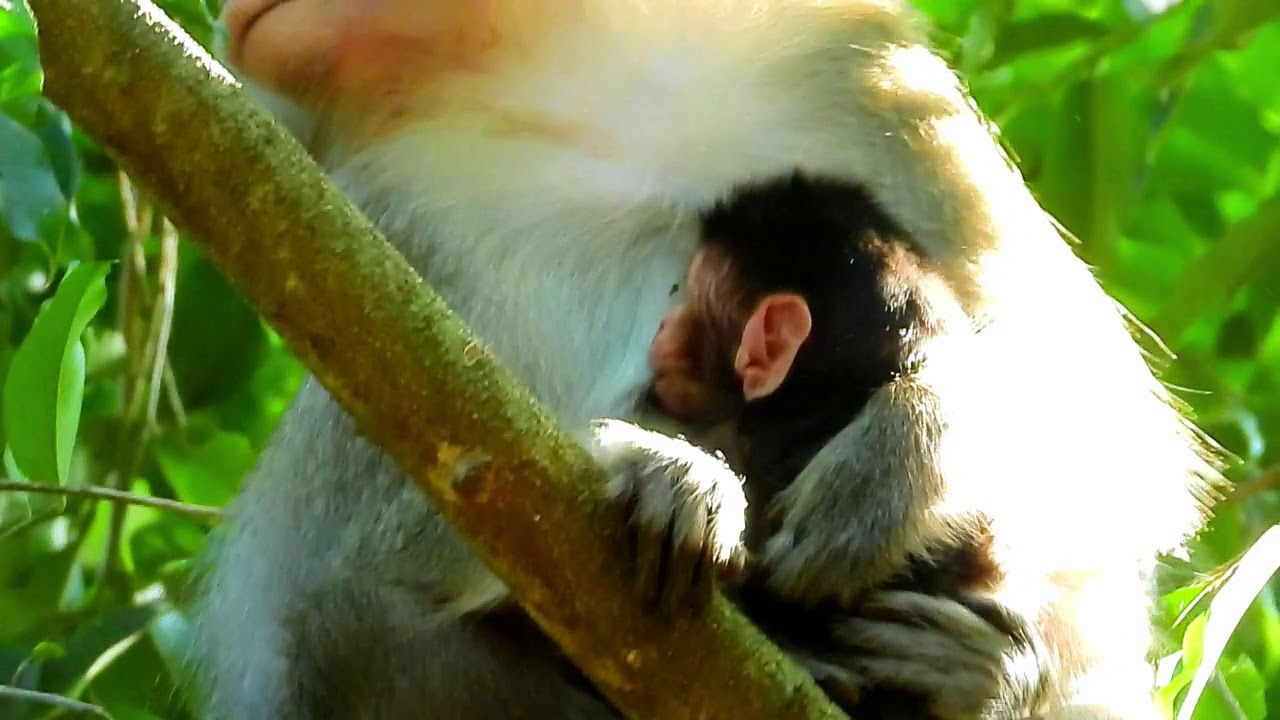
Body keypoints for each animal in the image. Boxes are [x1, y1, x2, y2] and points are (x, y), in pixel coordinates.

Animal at [191, 1, 1224, 719]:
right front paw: (669, 474)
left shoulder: (857, 71)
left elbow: (1096, 407)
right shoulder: (317, 183)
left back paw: (979, 673)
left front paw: (899, 461)